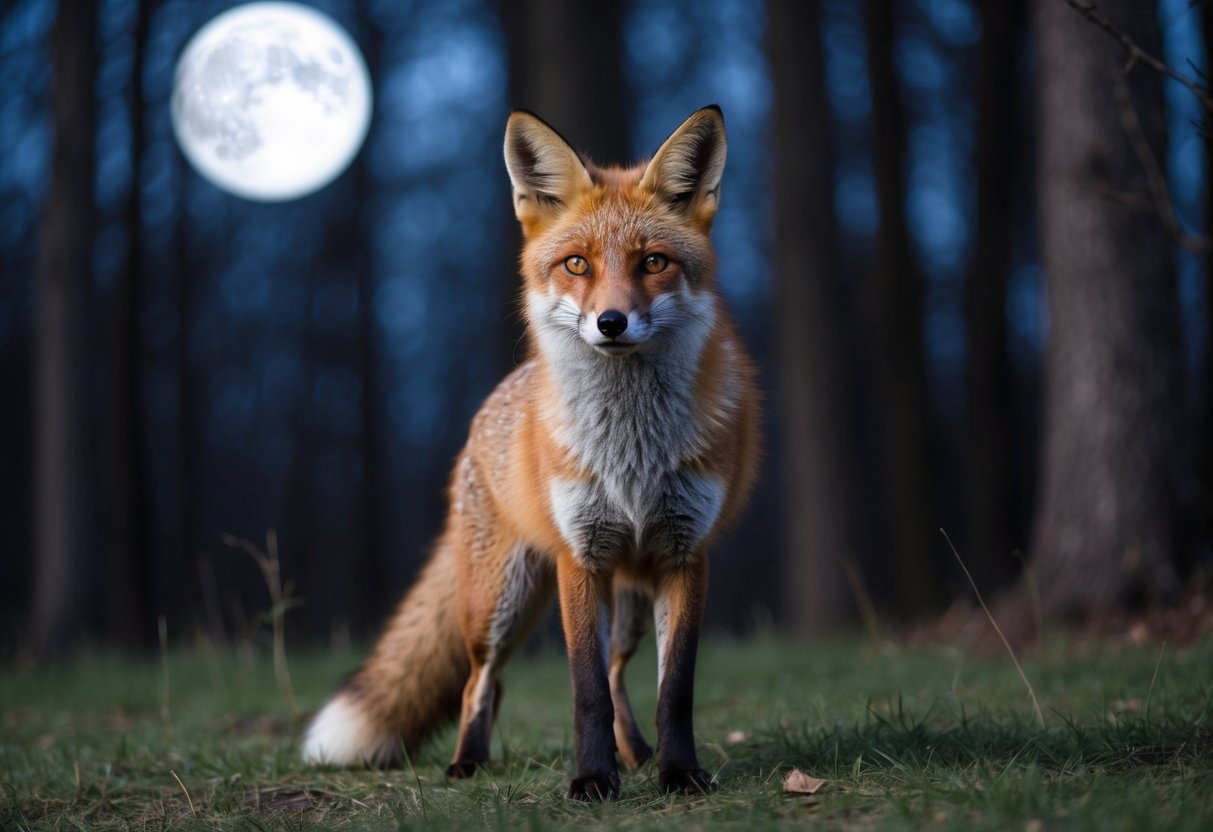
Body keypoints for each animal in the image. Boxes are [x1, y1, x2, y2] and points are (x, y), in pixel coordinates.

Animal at [302, 105, 761, 801]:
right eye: (576, 265)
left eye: (654, 262)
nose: (610, 323)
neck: (630, 451)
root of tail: (491, 404)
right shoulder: (580, 557)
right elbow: (584, 690)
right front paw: (592, 780)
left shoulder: (686, 555)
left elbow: (672, 689)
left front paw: (678, 772)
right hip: (501, 599)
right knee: (481, 683)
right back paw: (468, 763)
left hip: (630, 594)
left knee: (620, 676)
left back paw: (637, 755)